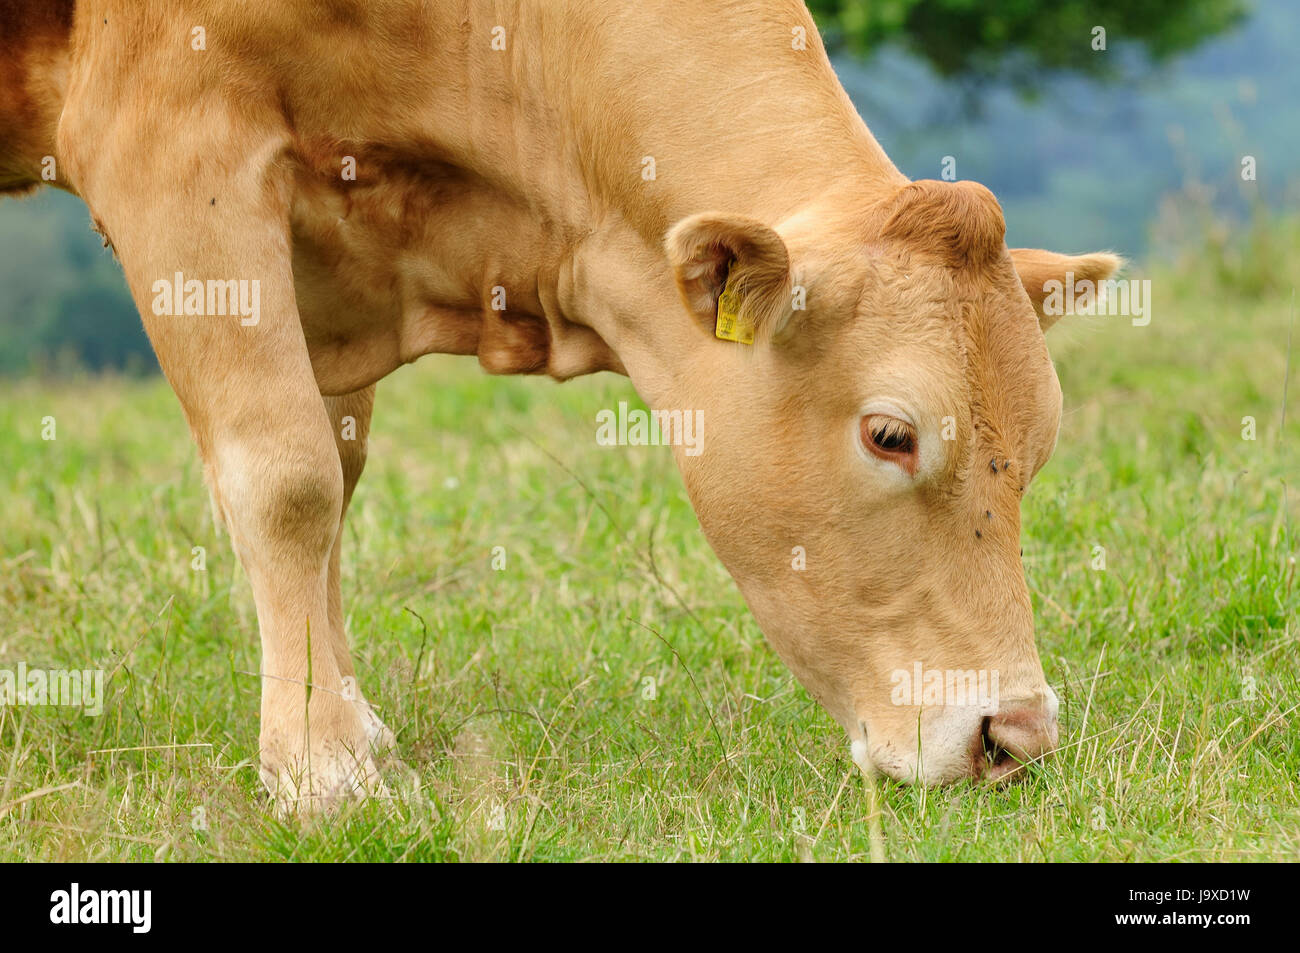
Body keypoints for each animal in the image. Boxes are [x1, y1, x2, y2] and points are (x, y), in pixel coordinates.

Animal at [0, 0, 1120, 814]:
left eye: (1038, 449)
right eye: (890, 434)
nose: (1014, 736)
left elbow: (335, 473)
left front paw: (351, 730)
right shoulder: (176, 142)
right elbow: (288, 481)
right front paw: (321, 770)